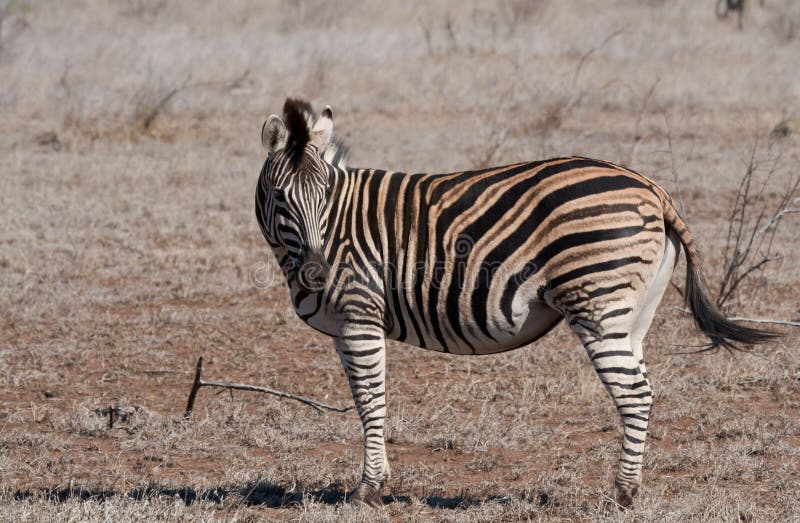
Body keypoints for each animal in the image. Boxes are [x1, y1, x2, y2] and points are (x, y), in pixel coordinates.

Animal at [254, 98, 777, 508]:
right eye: (281, 195)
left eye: (325, 194)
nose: (318, 274)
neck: (336, 227)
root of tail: (652, 188)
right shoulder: (349, 323)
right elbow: (368, 397)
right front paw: (376, 482)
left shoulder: (360, 313)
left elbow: (370, 399)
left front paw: (370, 488)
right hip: (634, 316)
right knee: (644, 387)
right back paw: (633, 486)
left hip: (597, 304)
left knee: (634, 393)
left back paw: (623, 494)